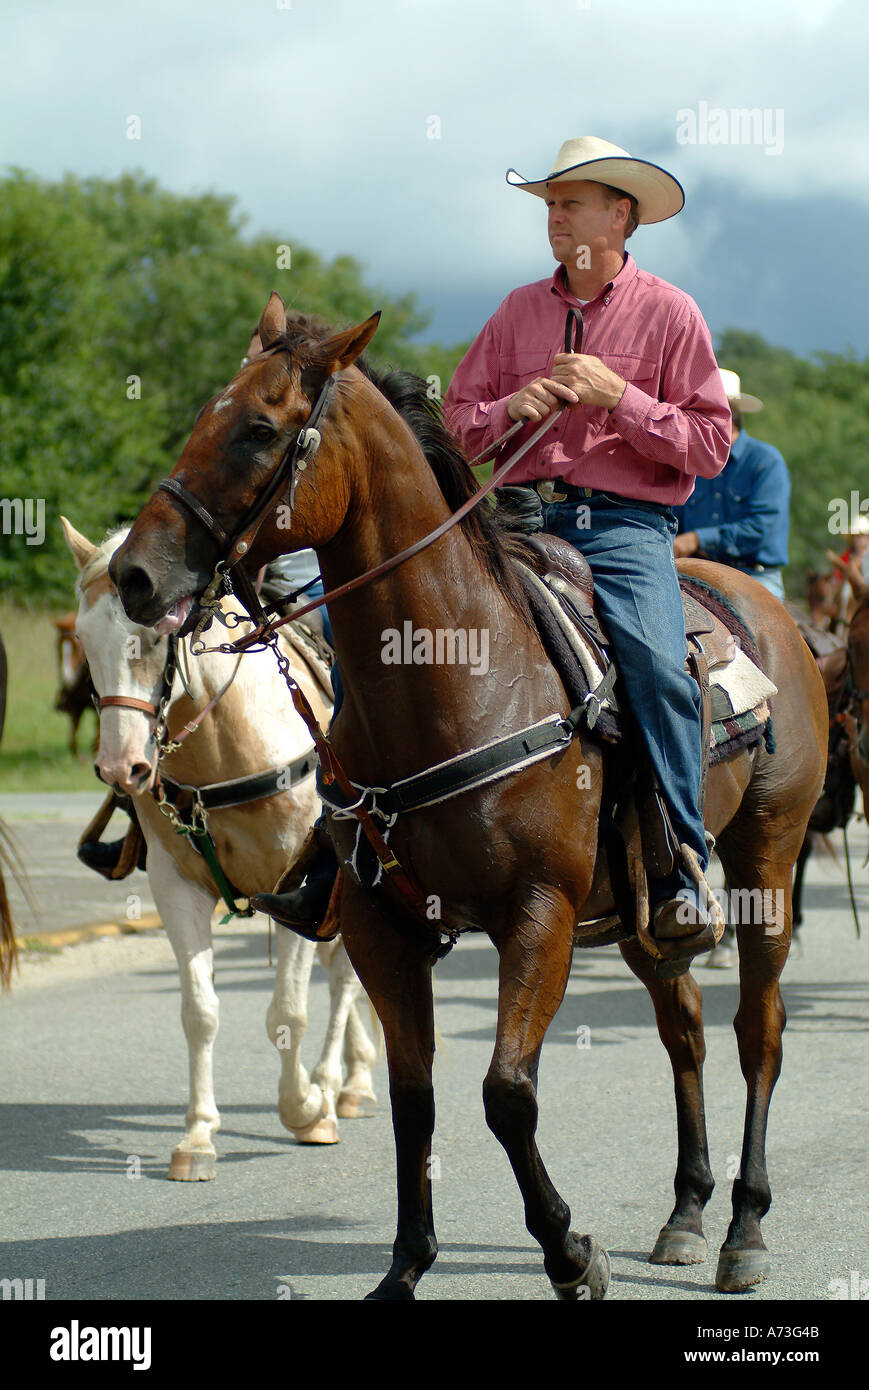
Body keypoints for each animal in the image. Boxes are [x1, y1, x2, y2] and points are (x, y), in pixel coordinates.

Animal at [63, 518, 378, 1179]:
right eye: (82, 637)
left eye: (155, 635)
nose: (121, 768)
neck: (229, 741)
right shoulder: (175, 890)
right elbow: (199, 1012)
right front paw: (197, 1136)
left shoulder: (297, 890)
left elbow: (288, 1013)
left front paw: (305, 1109)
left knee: (344, 978)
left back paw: (337, 1083)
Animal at [110, 295, 828, 1297]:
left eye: (258, 428)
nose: (135, 576)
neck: (454, 675)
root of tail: (774, 618)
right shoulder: (380, 926)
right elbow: (415, 1098)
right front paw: (405, 1266)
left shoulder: (539, 915)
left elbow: (506, 1093)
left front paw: (569, 1253)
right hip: (642, 910)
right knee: (681, 1028)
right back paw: (684, 1213)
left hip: (765, 857)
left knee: (756, 1031)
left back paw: (742, 1229)